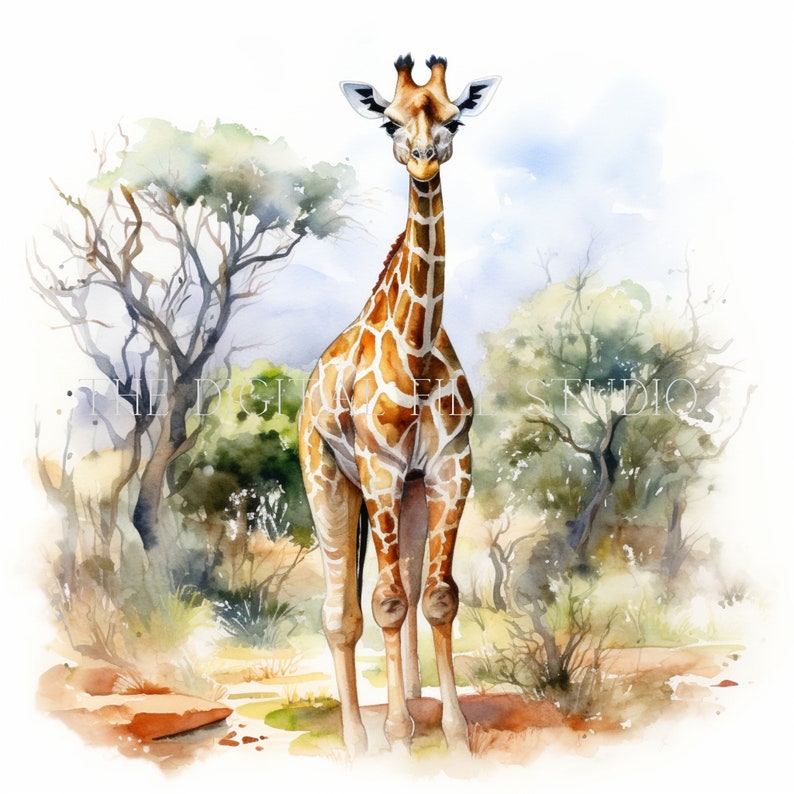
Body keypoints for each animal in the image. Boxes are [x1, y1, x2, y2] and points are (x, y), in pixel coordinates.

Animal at [298, 54, 499, 755]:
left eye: (454, 117)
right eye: (389, 118)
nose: (423, 157)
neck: (415, 352)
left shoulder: (448, 467)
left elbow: (437, 598)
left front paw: (457, 732)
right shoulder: (380, 468)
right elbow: (382, 602)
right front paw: (395, 736)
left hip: (407, 493)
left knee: (408, 593)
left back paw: (412, 702)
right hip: (327, 476)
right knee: (341, 611)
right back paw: (360, 738)